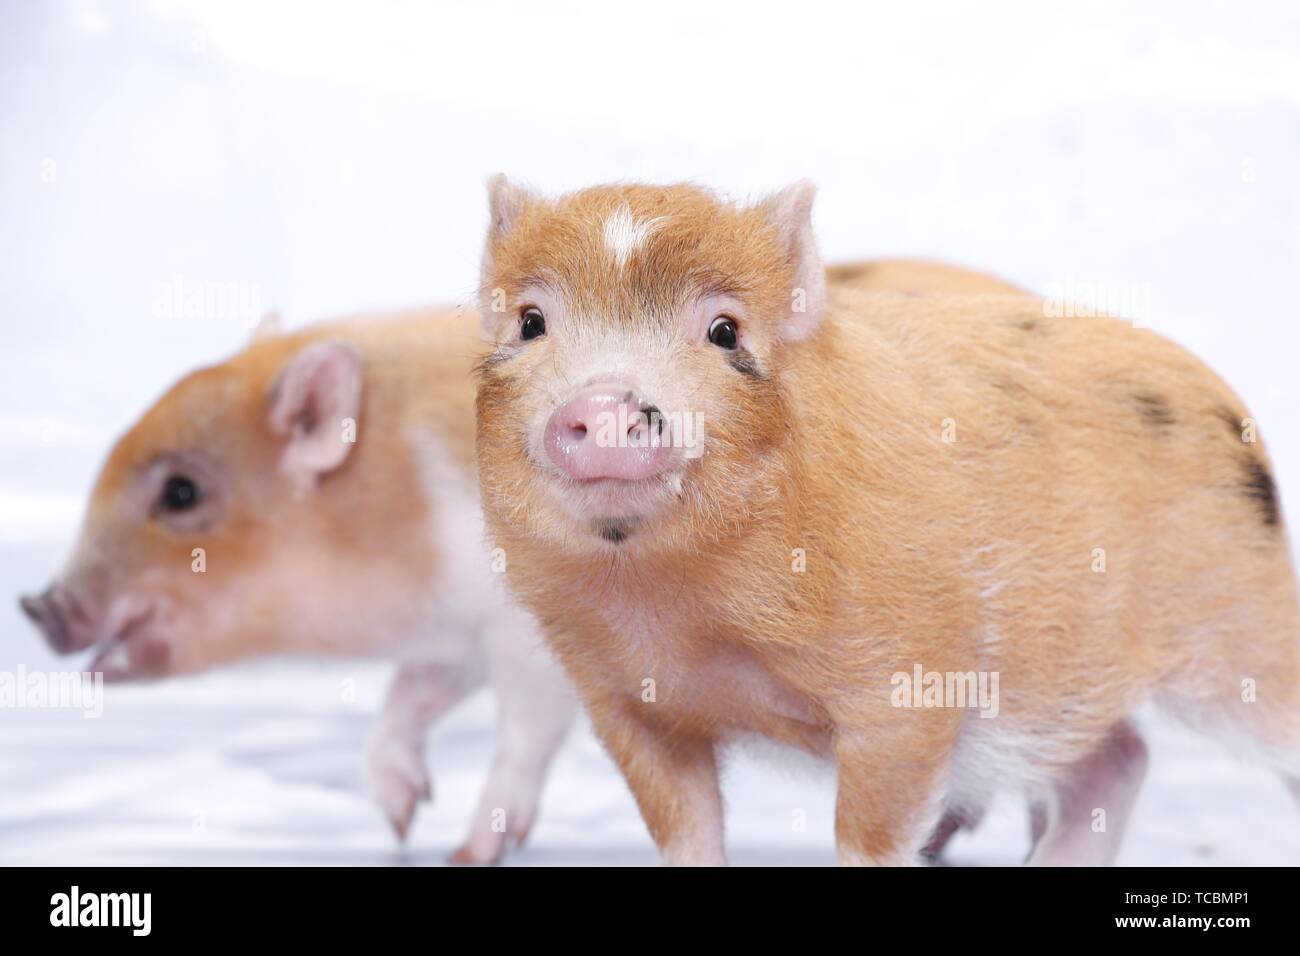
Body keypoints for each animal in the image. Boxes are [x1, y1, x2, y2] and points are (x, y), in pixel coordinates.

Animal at [18, 307, 577, 864]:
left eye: (181, 493)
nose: (35, 605)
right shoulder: (458, 636)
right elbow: (408, 697)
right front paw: (401, 822)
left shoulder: (522, 632)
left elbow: (526, 728)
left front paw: (465, 855)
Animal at [473, 178, 1300, 865]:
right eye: (532, 322)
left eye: (724, 331)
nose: (603, 402)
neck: (675, 606)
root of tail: (1230, 408)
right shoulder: (624, 705)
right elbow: (685, 832)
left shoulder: (906, 695)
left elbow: (873, 837)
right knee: (1119, 760)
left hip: (1246, 626)